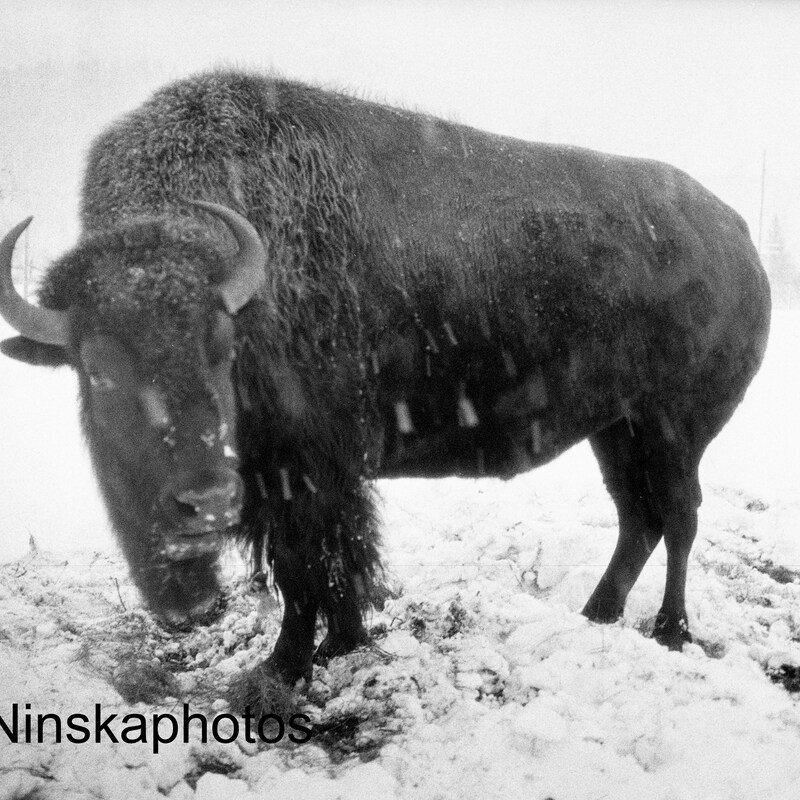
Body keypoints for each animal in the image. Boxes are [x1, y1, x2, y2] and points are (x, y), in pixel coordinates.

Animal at [0, 71, 769, 693]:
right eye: (96, 369)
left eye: (221, 348)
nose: (202, 501)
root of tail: (739, 239)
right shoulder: (299, 481)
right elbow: (326, 569)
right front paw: (336, 646)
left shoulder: (308, 475)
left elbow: (309, 572)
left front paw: (286, 666)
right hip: (616, 429)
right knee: (639, 517)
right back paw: (598, 613)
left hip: (673, 429)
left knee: (679, 516)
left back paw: (669, 629)